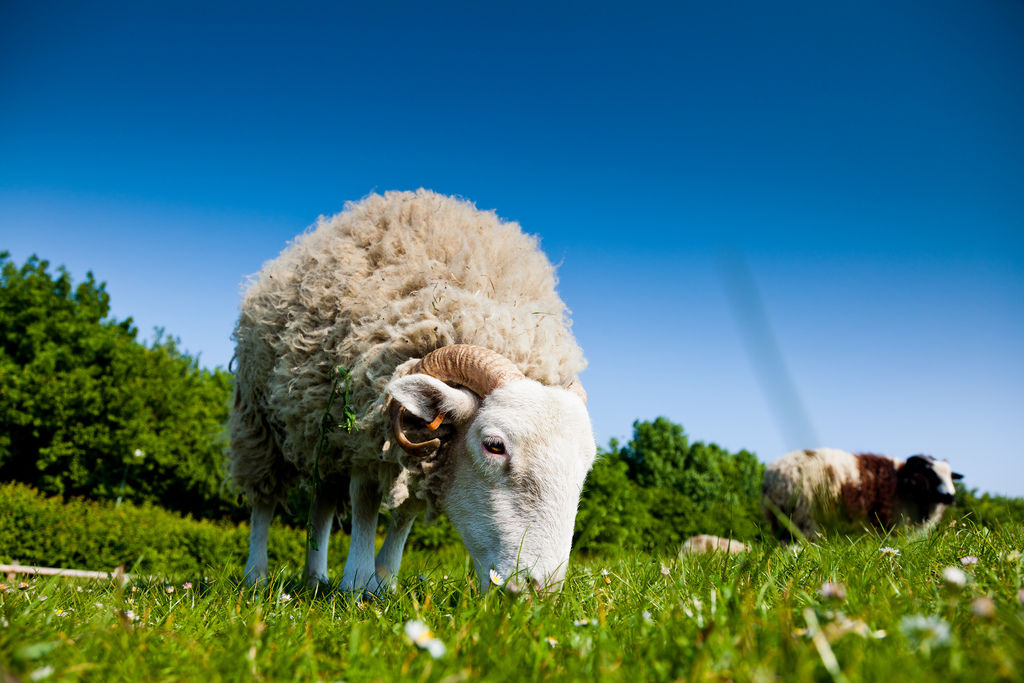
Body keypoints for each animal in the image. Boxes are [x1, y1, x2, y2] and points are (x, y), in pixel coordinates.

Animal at [228, 189, 596, 595]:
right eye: (494, 446)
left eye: (586, 466)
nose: (538, 589)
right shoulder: (365, 427)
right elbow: (365, 499)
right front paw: (357, 582)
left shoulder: (419, 447)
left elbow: (406, 514)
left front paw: (385, 580)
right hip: (259, 420)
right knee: (264, 500)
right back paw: (256, 575)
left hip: (325, 433)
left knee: (322, 501)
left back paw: (315, 578)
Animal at [762, 448, 963, 541]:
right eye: (931, 475)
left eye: (950, 476)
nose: (951, 497)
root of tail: (772, 473)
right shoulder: (887, 522)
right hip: (803, 515)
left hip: (782, 518)